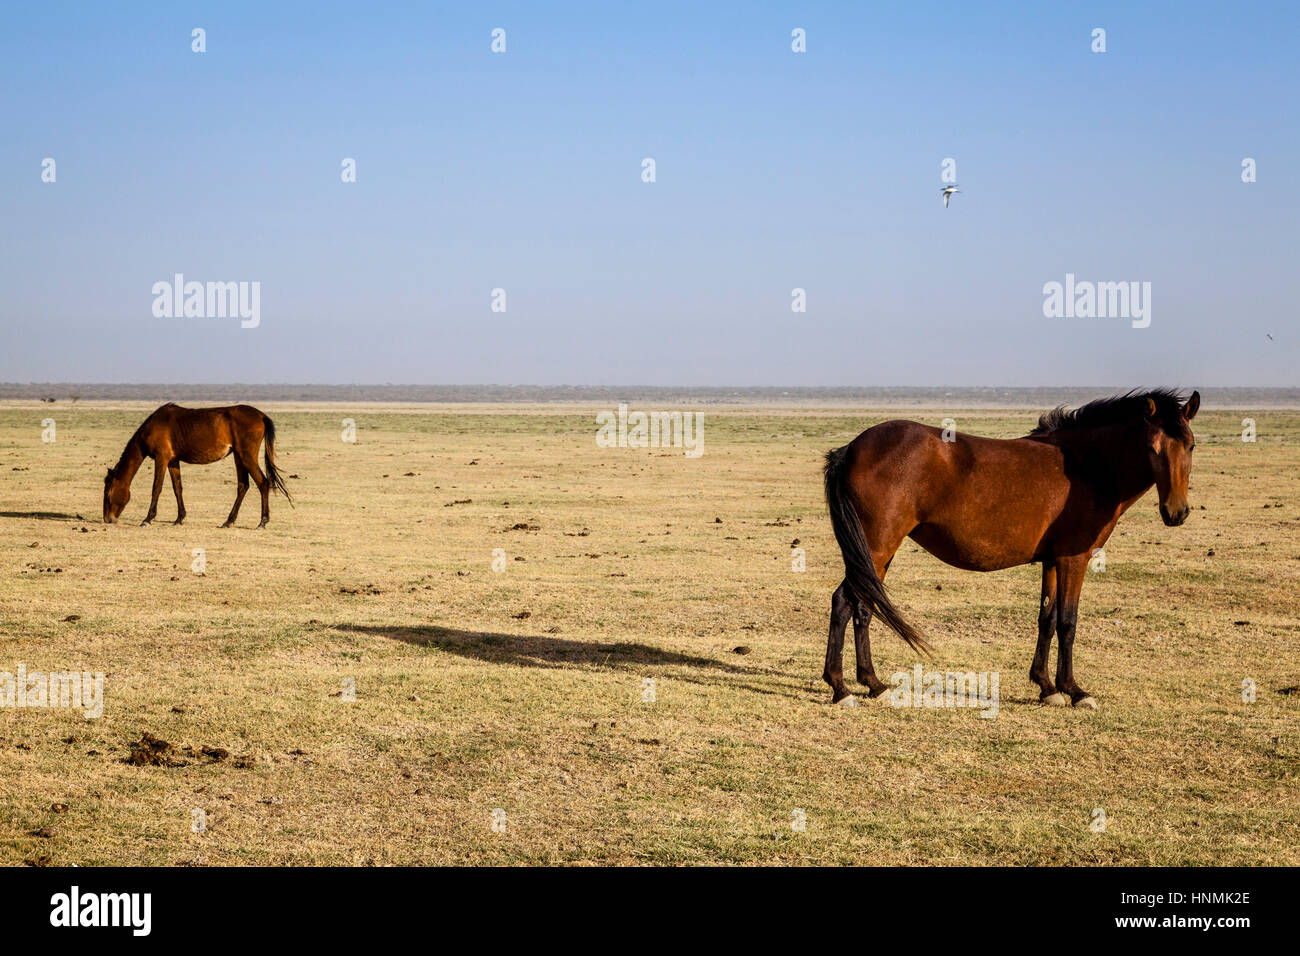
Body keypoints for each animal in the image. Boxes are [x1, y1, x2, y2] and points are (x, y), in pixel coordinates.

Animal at [103, 404, 291, 528]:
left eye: (107, 492)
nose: (108, 519)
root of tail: (261, 416)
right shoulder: (173, 460)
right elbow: (177, 488)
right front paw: (179, 518)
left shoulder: (161, 458)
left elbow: (157, 487)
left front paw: (147, 519)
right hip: (239, 456)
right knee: (243, 485)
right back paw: (228, 521)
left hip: (247, 456)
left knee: (263, 483)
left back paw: (262, 522)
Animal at [821, 388, 1199, 709]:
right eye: (1152, 448)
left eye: (1191, 446)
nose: (1176, 512)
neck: (1087, 465)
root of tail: (850, 450)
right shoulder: (1073, 560)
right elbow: (1068, 622)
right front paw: (1075, 691)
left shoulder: (1052, 561)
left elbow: (1047, 619)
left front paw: (1046, 687)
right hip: (876, 548)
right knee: (844, 602)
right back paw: (841, 689)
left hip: (876, 555)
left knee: (863, 607)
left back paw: (874, 684)